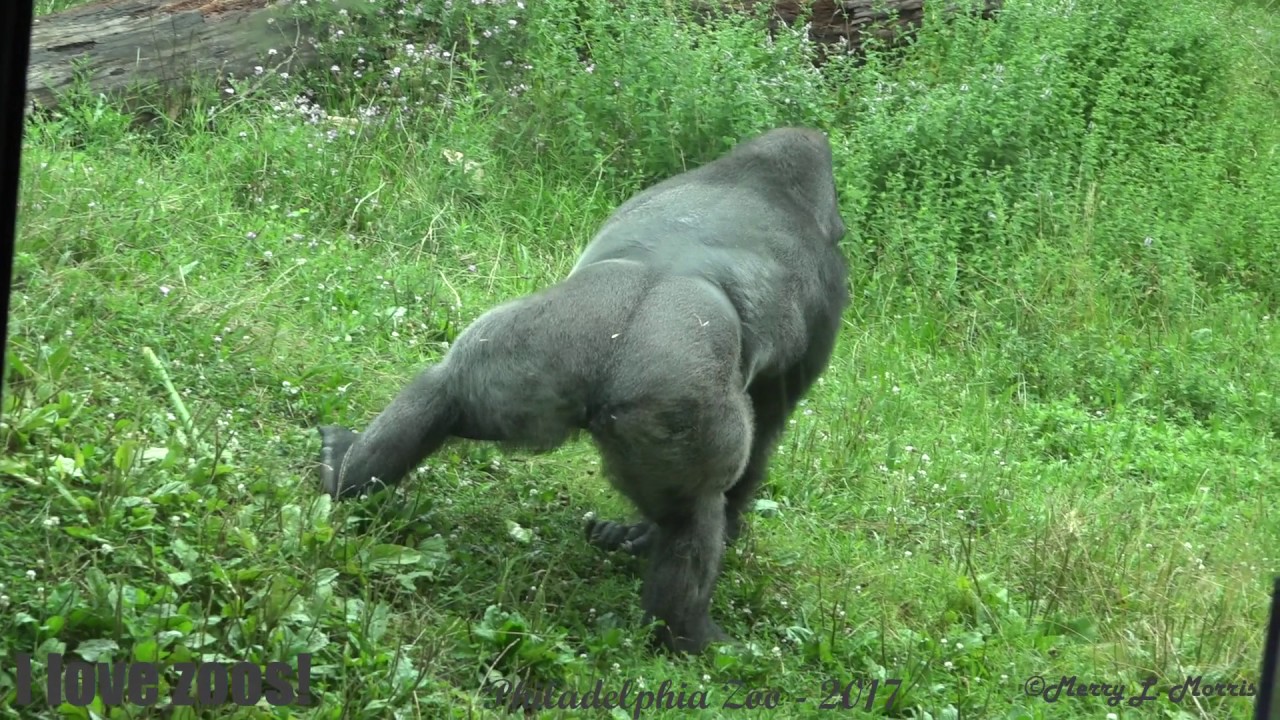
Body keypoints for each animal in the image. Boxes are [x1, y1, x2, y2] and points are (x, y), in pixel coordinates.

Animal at [315, 127, 850, 654]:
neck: (769, 180)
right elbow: (766, 428)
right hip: (677, 410)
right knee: (695, 512)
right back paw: (688, 635)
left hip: (525, 352)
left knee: (440, 393)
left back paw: (345, 472)